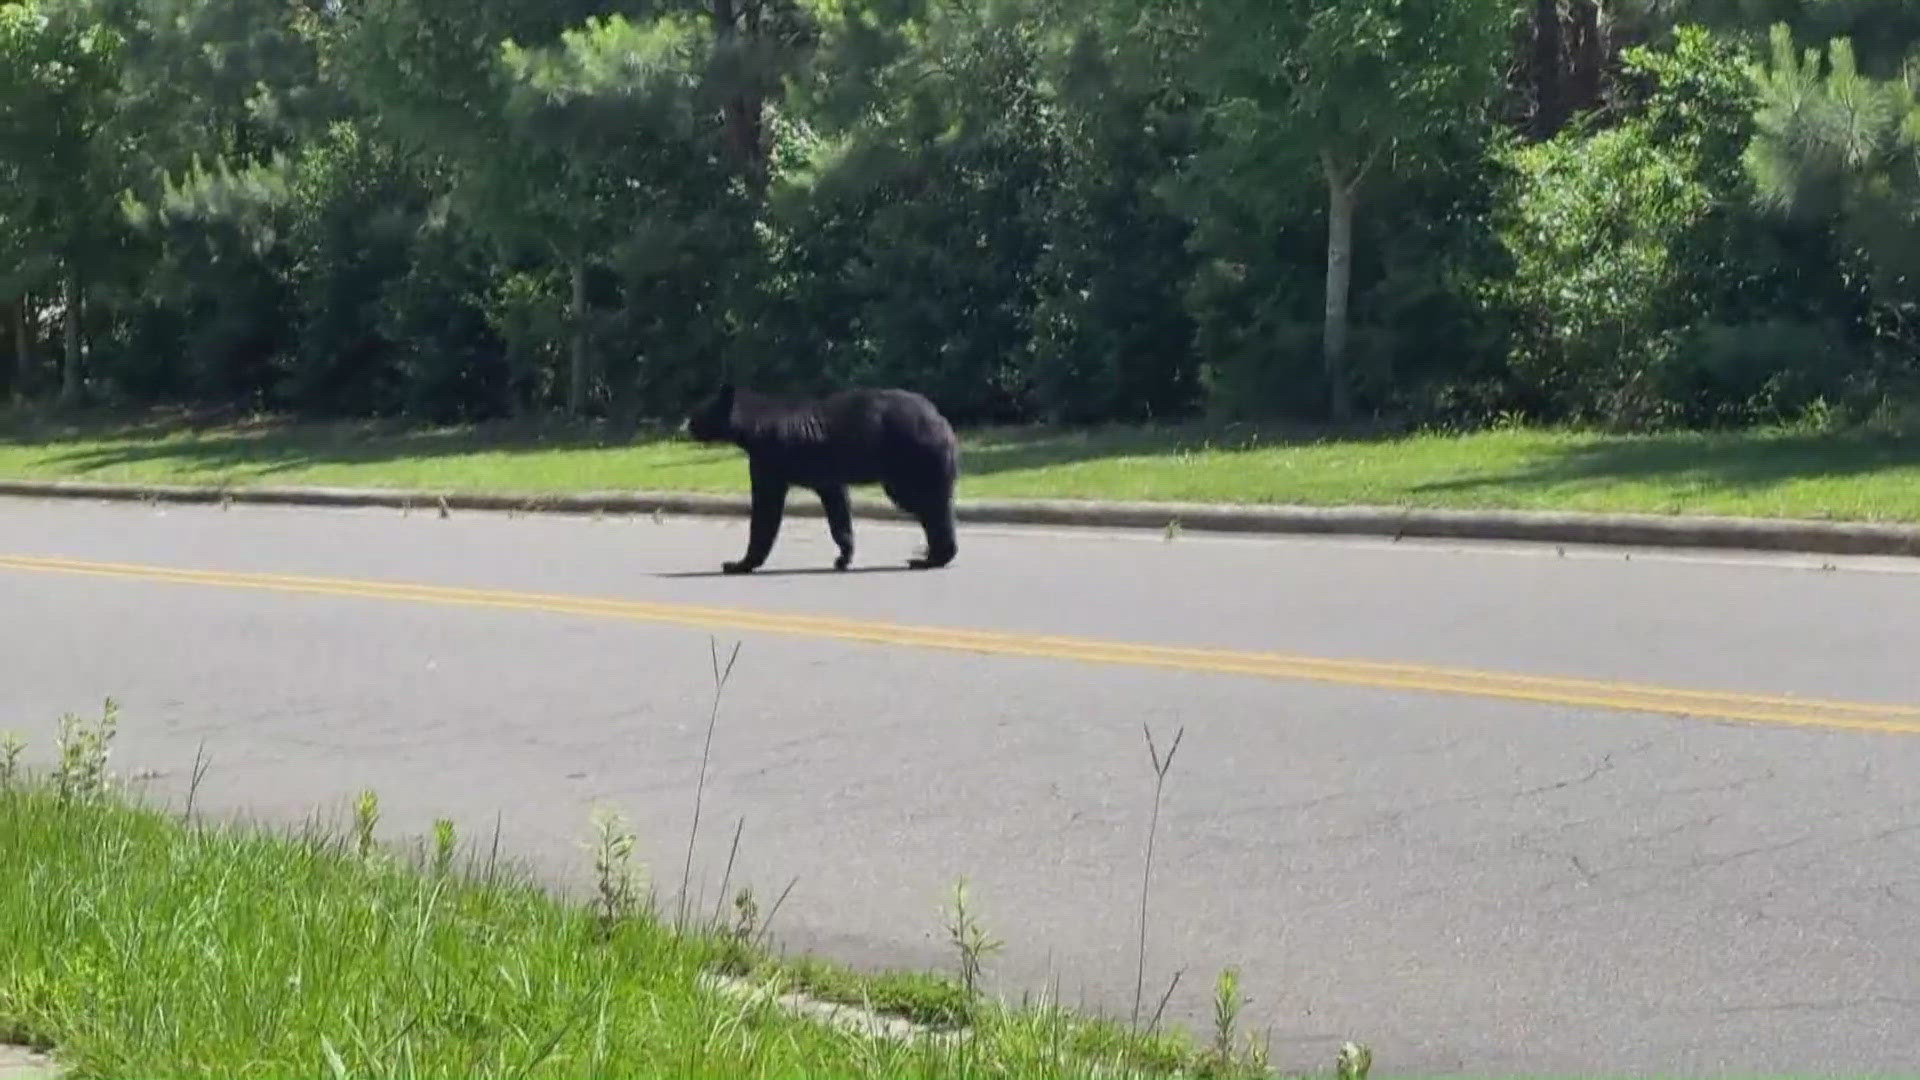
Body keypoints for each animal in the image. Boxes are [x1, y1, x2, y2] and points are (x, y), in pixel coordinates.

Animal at [682, 382, 960, 574]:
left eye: (699, 410)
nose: (687, 424)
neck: (754, 427)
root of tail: (942, 421)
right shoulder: (825, 476)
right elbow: (837, 506)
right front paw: (844, 556)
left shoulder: (770, 459)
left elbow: (765, 509)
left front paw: (738, 563)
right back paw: (932, 555)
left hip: (914, 457)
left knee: (928, 503)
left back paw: (931, 557)